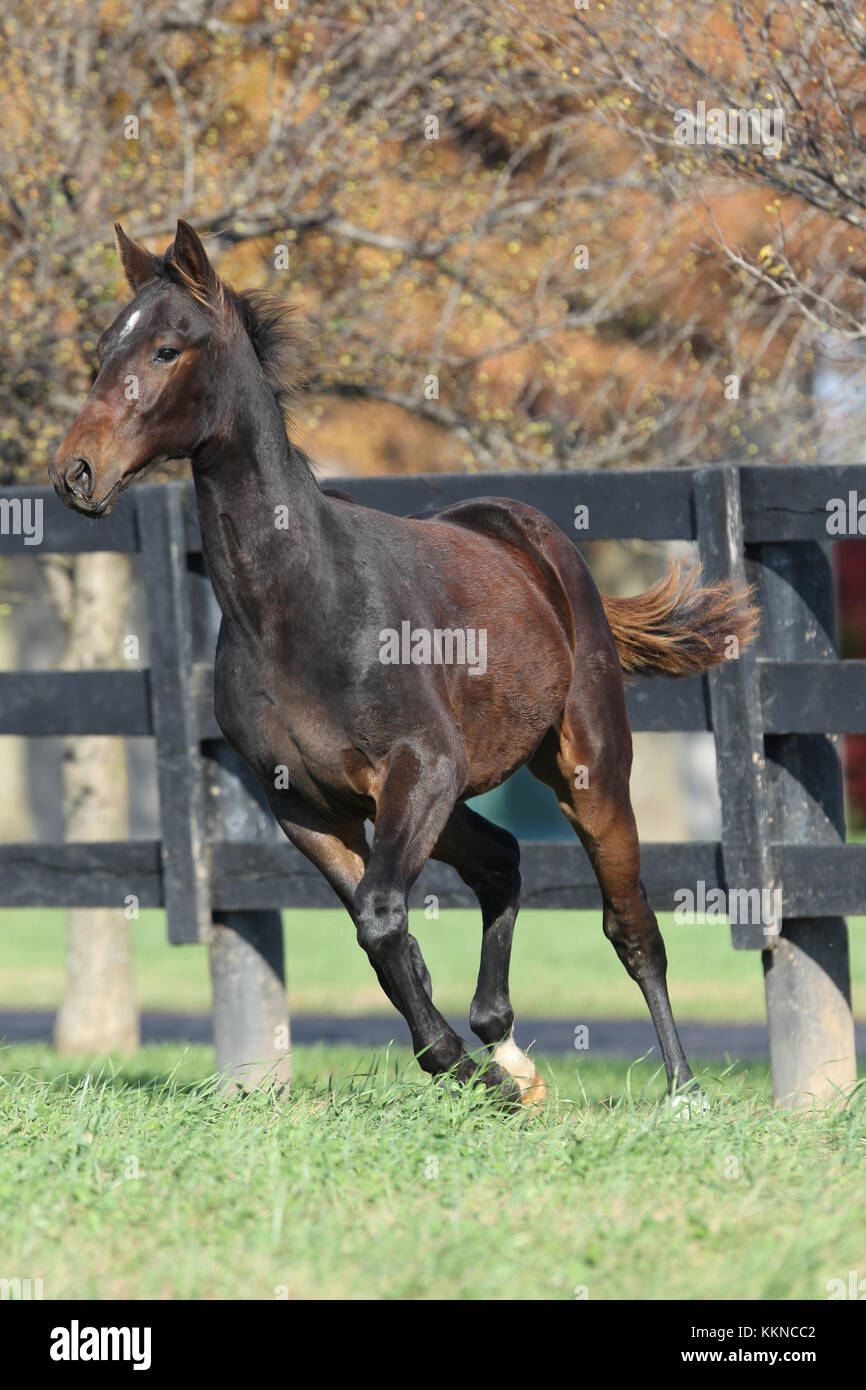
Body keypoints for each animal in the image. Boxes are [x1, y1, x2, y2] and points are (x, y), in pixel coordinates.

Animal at [51, 219, 759, 1108]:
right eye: (103, 348)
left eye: (167, 349)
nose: (75, 472)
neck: (298, 611)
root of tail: (534, 540)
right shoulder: (308, 806)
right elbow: (381, 933)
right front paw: (475, 1069)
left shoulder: (419, 768)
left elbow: (383, 917)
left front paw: (464, 1067)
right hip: (444, 801)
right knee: (502, 861)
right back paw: (507, 1050)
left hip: (584, 768)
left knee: (630, 925)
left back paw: (681, 1088)